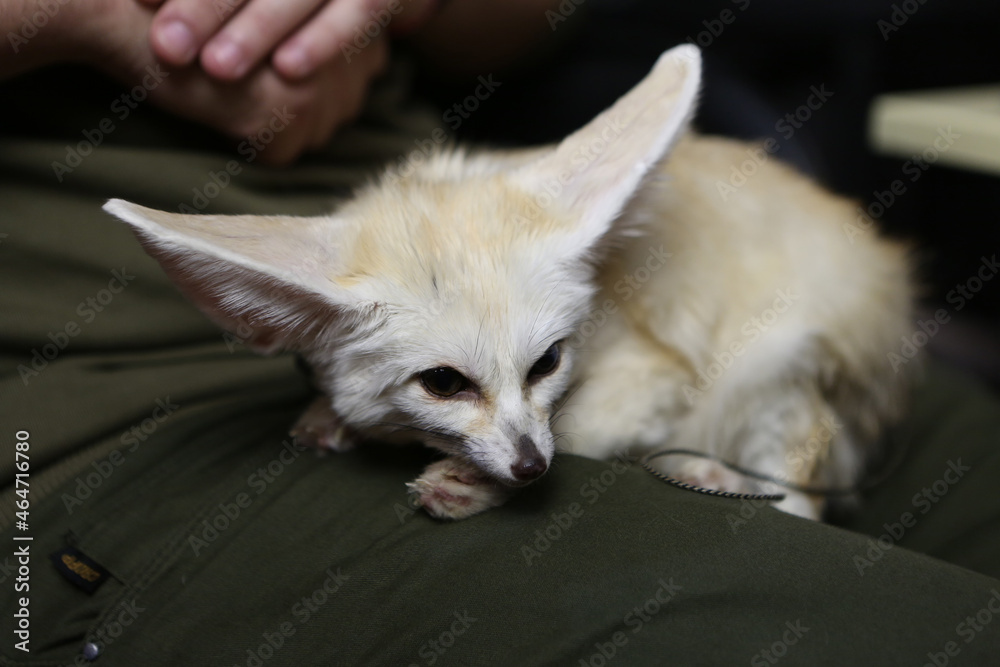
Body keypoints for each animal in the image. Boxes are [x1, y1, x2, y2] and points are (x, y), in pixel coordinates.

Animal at [103, 44, 912, 521]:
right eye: (442, 383)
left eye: (547, 362)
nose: (527, 467)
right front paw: (334, 415)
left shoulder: (656, 371)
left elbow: (579, 431)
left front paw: (472, 483)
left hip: (773, 357)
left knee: (799, 496)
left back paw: (718, 476)